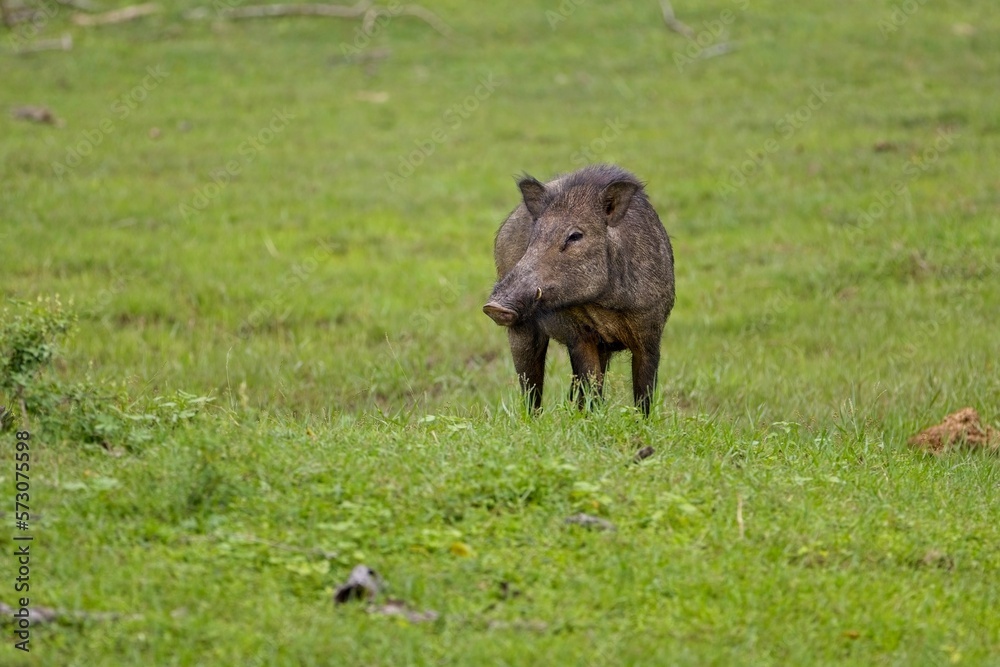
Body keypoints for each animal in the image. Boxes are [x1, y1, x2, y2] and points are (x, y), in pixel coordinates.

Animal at [483, 164, 675, 415]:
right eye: (536, 234)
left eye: (575, 236)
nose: (494, 306)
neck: (606, 303)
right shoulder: (580, 337)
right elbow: (590, 385)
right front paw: (589, 419)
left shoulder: (651, 332)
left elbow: (644, 393)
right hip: (522, 330)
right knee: (531, 388)